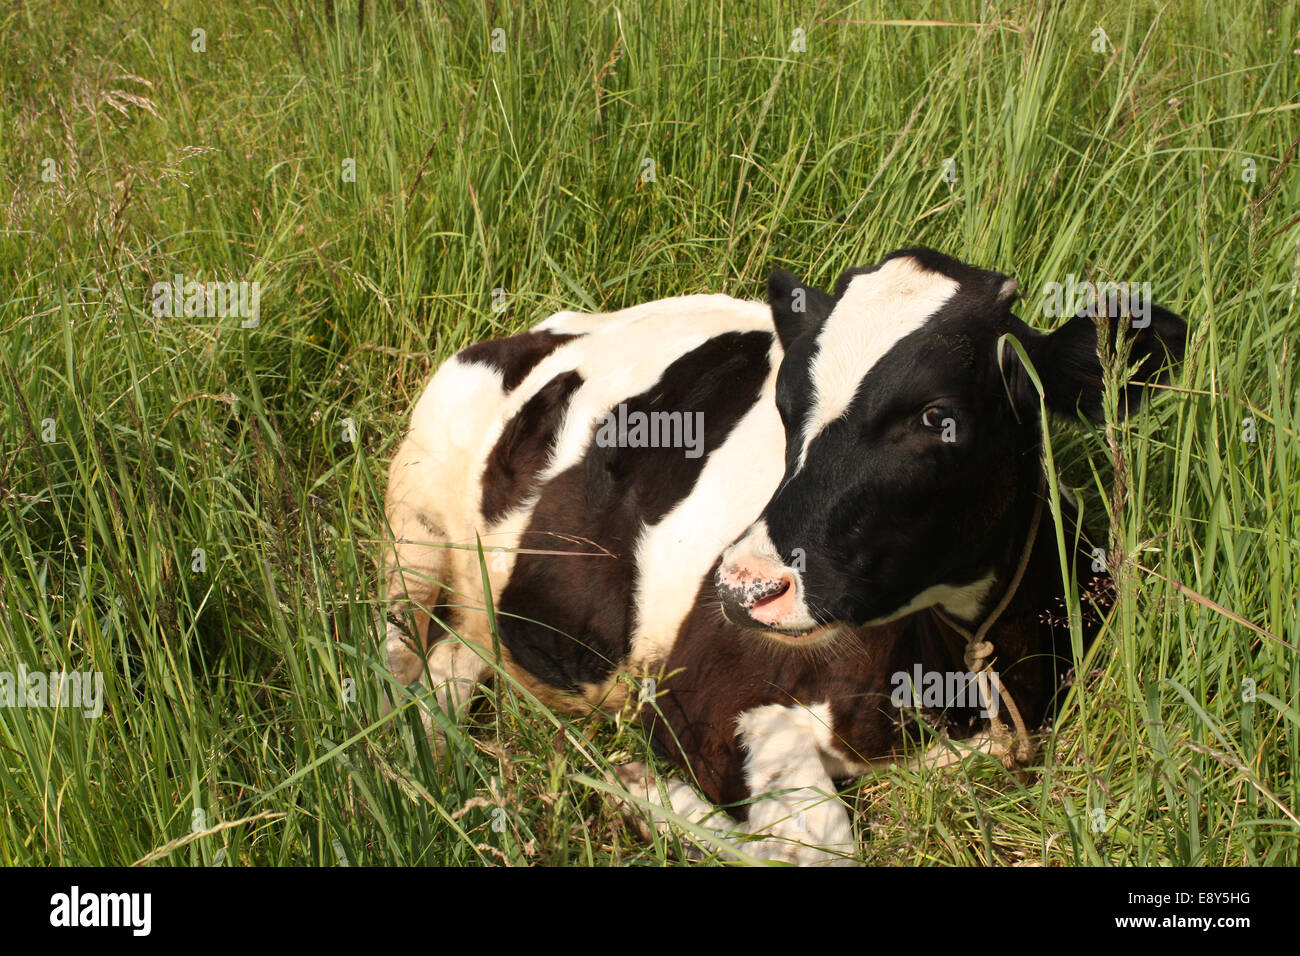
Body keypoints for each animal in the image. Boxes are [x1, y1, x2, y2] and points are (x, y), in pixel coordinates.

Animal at [380, 247, 1186, 865]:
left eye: (939, 416)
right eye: (785, 401)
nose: (745, 587)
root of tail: (544, 329)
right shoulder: (701, 694)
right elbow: (823, 848)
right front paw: (640, 789)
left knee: (453, 665)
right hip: (412, 528)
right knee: (400, 659)